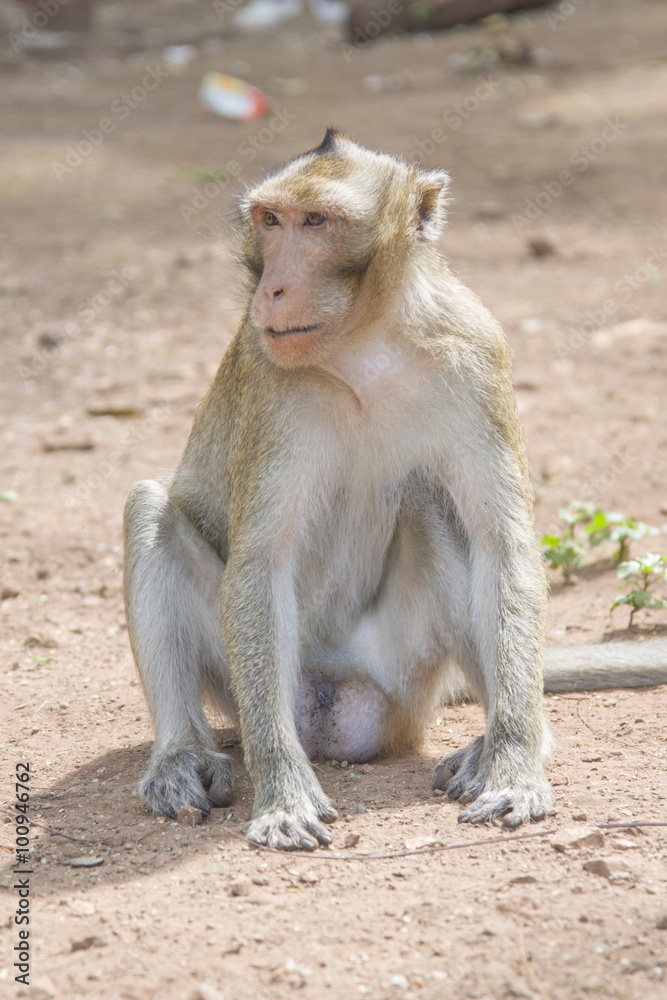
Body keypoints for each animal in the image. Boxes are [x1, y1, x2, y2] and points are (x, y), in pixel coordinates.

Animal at [123, 129, 667, 851]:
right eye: (270, 220)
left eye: (316, 222)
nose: (272, 289)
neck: (366, 346)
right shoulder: (269, 378)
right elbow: (262, 562)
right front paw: (281, 788)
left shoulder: (478, 354)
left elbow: (502, 546)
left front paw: (514, 762)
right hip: (245, 685)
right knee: (149, 510)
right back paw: (181, 755)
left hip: (404, 674)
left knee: (433, 504)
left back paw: (506, 741)